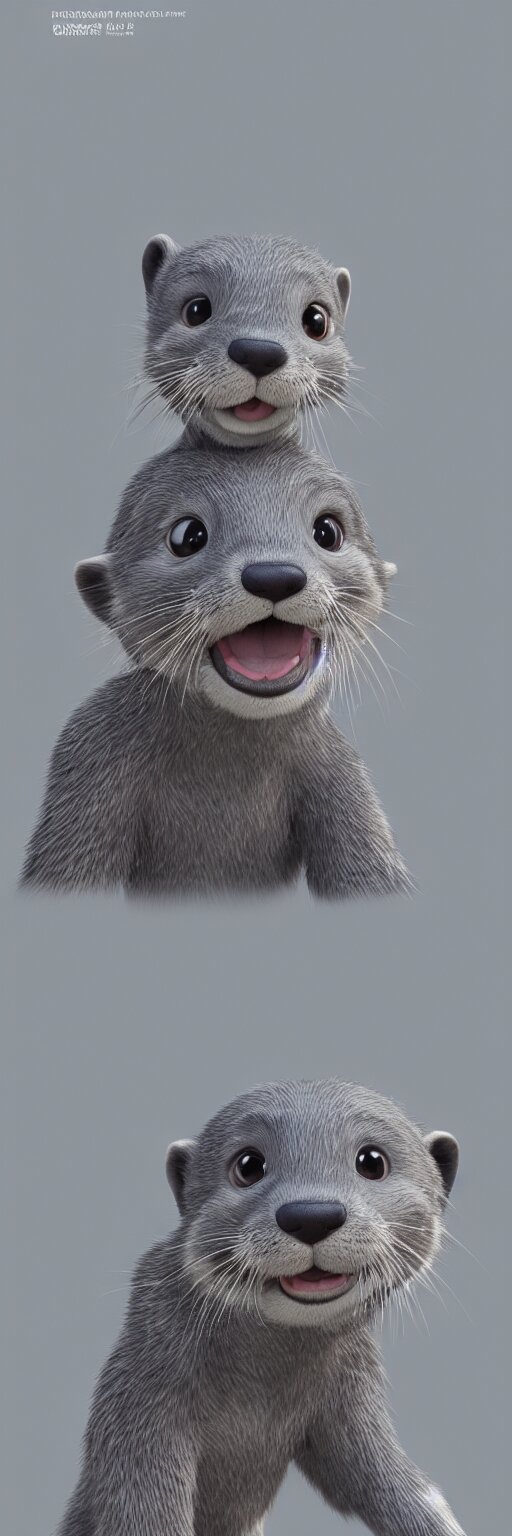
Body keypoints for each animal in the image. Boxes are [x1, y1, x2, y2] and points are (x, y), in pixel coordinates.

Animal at [56, 1078, 465, 1536]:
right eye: (249, 1165)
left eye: (372, 1161)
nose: (312, 1214)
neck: (259, 1392)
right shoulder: (141, 1401)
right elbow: (142, 1506)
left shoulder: (352, 1399)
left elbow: (400, 1488)